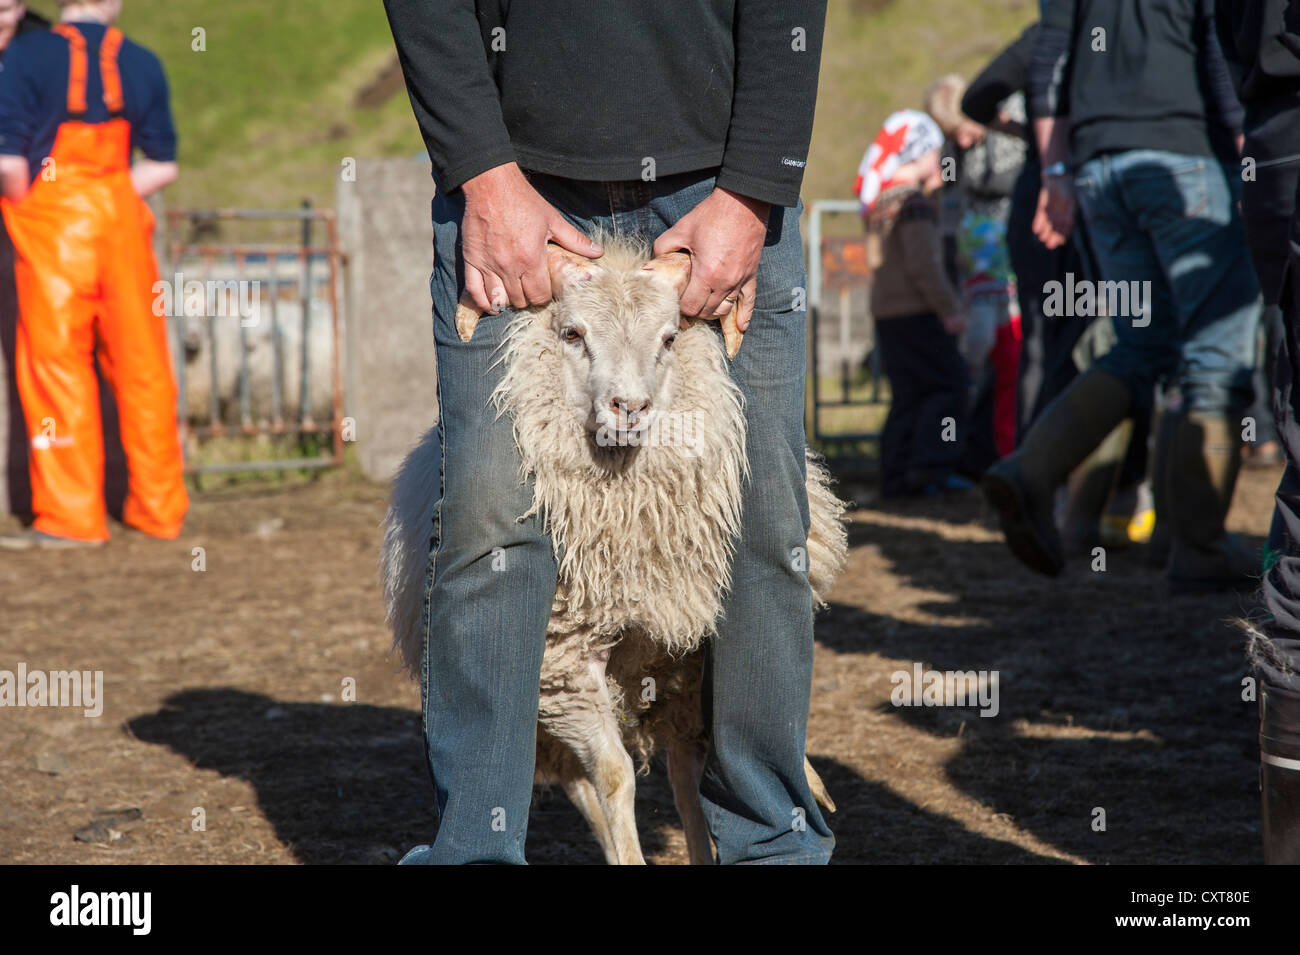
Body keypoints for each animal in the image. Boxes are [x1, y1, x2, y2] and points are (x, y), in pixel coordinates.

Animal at [382, 237, 848, 864]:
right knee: (587, 782)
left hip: (669, 677)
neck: (632, 529)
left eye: (670, 338)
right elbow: (614, 777)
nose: (630, 407)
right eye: (572, 334)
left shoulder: (688, 653)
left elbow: (690, 771)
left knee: (686, 768)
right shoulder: (565, 667)